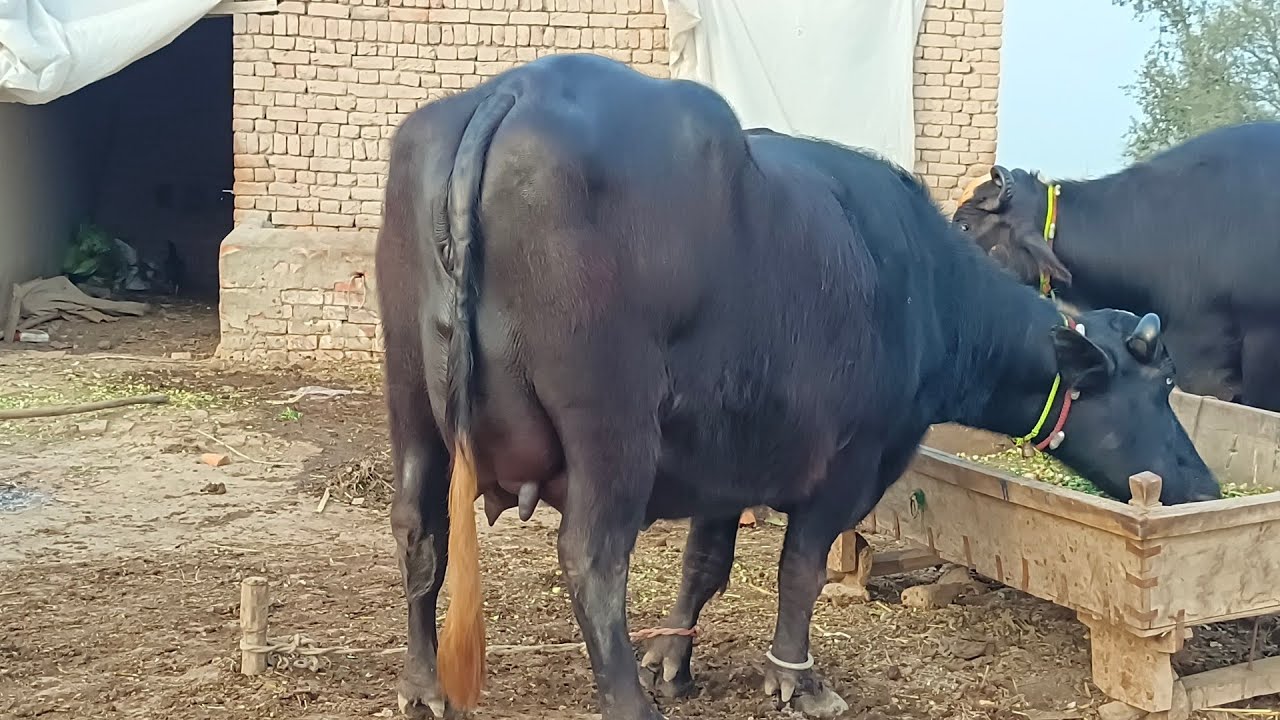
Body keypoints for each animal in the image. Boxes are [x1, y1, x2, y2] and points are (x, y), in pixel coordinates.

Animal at [374, 54, 1218, 720]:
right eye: (1161, 381)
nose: (1202, 483)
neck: (925, 293)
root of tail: (513, 91)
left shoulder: (722, 461)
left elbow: (705, 564)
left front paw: (673, 662)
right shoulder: (854, 461)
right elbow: (801, 567)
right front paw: (798, 679)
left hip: (409, 395)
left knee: (418, 529)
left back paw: (422, 685)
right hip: (612, 429)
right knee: (591, 559)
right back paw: (628, 703)